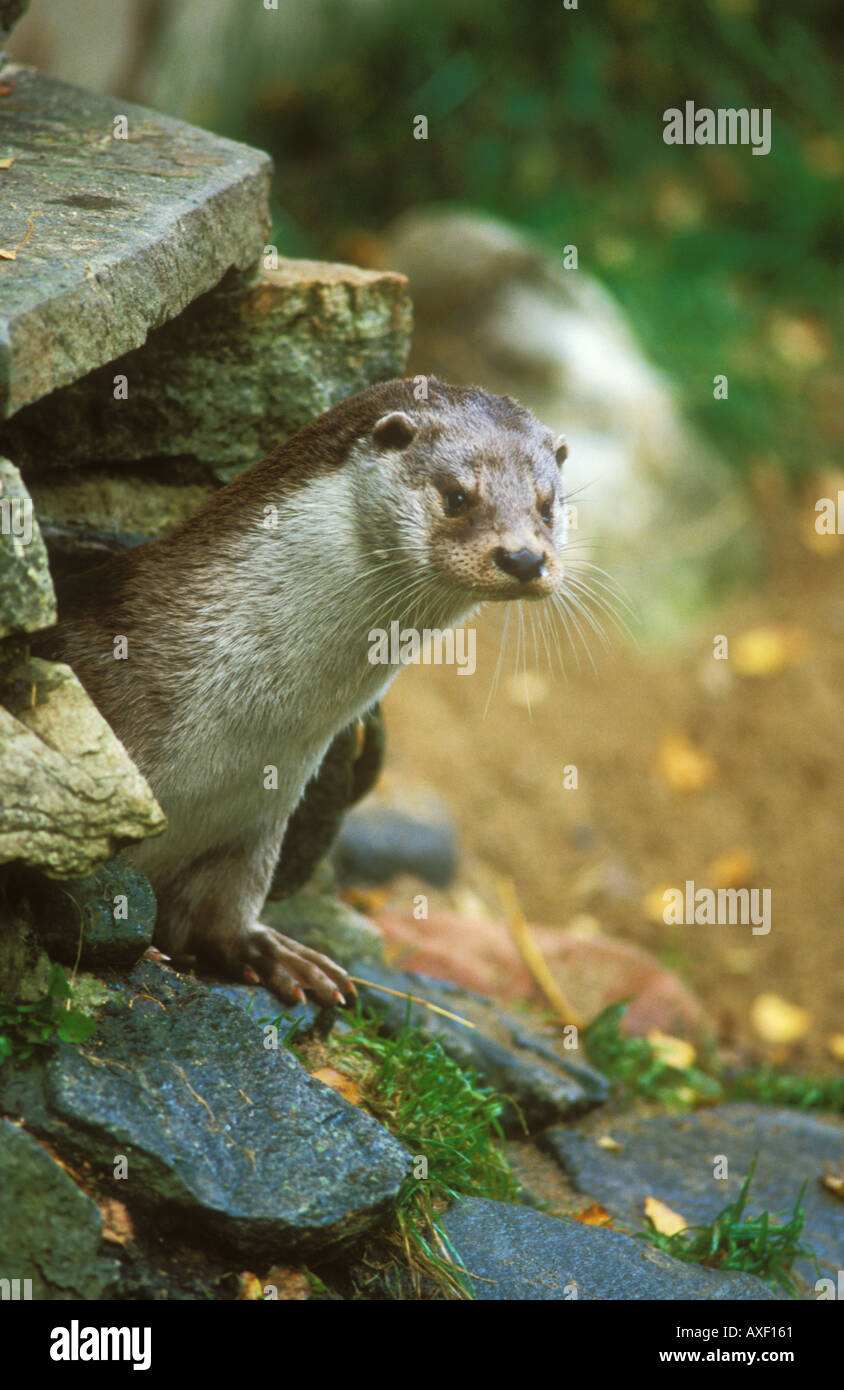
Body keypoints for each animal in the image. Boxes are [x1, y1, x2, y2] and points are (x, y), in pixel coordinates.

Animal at [36, 378, 569, 1005]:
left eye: (547, 504)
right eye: (457, 495)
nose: (524, 556)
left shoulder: (255, 822)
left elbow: (221, 911)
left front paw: (271, 953)